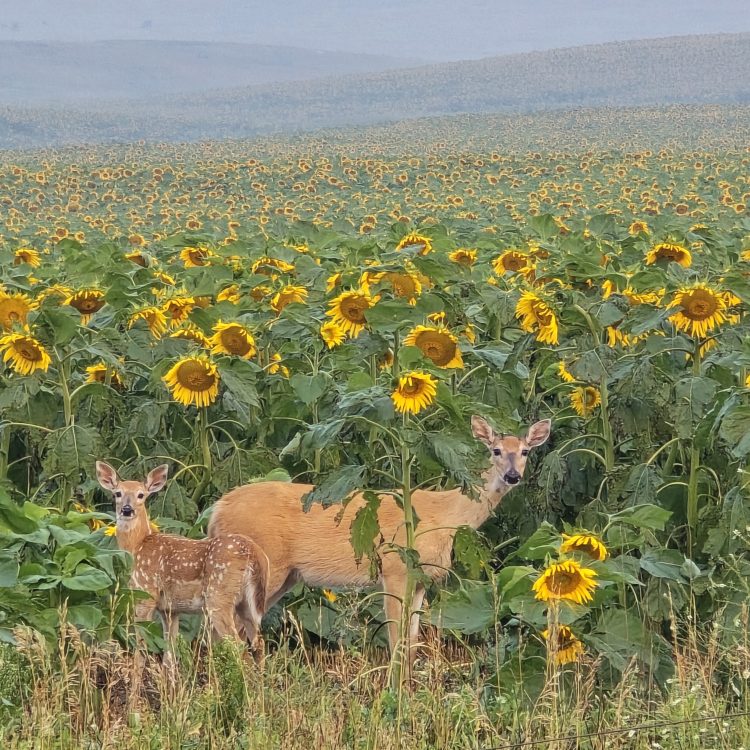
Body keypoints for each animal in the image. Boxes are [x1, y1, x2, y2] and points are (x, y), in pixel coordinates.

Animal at [96, 461, 269, 664]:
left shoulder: (146, 593)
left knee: (239, 645)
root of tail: (253, 552)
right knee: (258, 643)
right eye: (117, 493)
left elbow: (141, 646)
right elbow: (169, 651)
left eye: (141, 494)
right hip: (247, 603)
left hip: (219, 597)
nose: (127, 509)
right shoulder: (169, 609)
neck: (138, 545)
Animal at [207, 416, 551, 674]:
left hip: (282, 575)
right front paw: (395, 698)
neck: (445, 515)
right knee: (223, 625)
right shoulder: (395, 570)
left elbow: (411, 643)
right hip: (262, 565)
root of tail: (217, 511)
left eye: (524, 451)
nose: (512, 476)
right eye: (495, 450)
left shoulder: (421, 579)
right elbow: (396, 640)